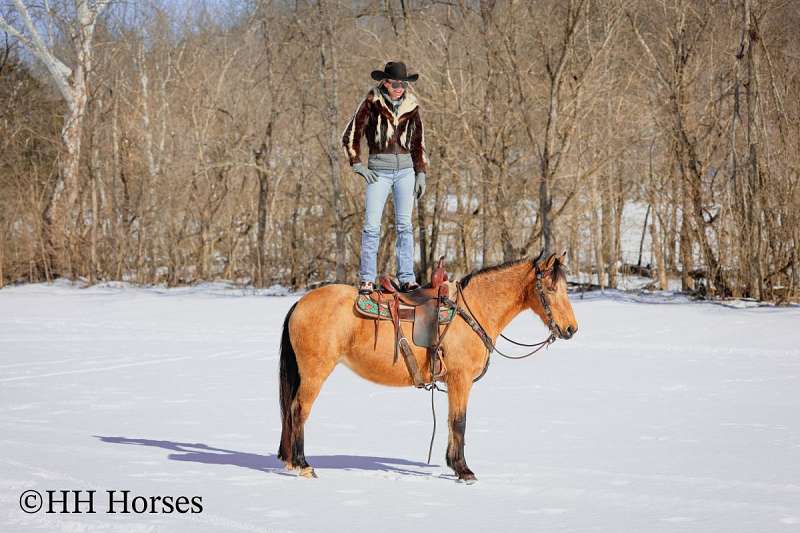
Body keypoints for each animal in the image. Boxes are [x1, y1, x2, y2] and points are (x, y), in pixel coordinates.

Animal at [277, 250, 578, 482]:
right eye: (550, 289)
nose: (571, 329)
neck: (474, 309)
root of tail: (300, 303)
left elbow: (452, 421)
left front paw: (454, 464)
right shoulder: (460, 379)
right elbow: (459, 421)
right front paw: (463, 470)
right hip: (315, 372)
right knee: (299, 410)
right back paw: (304, 465)